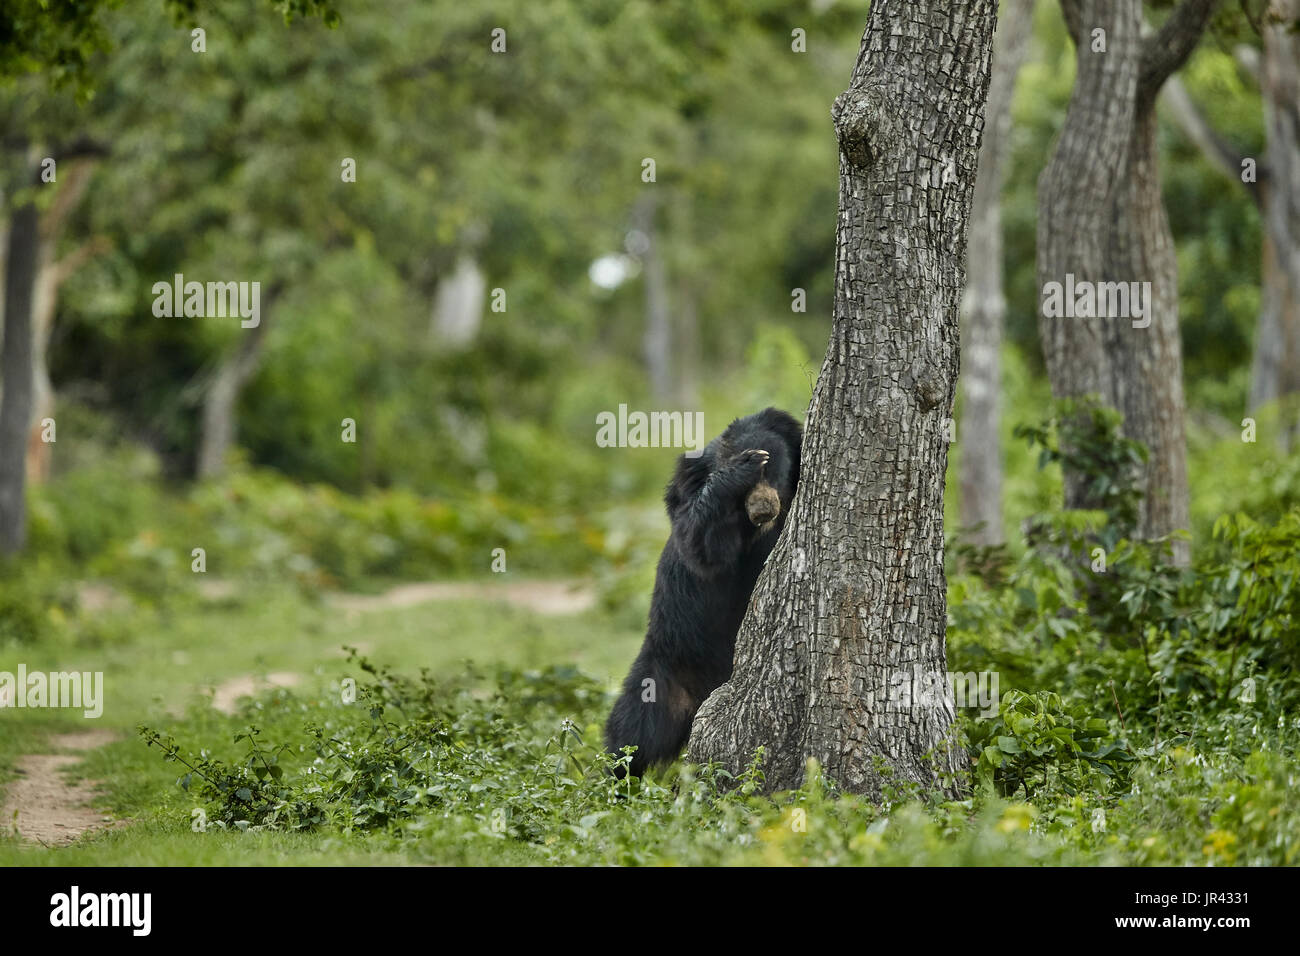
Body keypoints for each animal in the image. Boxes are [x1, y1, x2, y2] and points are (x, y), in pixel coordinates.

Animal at [604, 406, 802, 777]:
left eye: (775, 470)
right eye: (744, 492)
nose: (762, 508)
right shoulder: (692, 506)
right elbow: (704, 545)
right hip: (665, 670)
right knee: (634, 727)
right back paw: (619, 774)